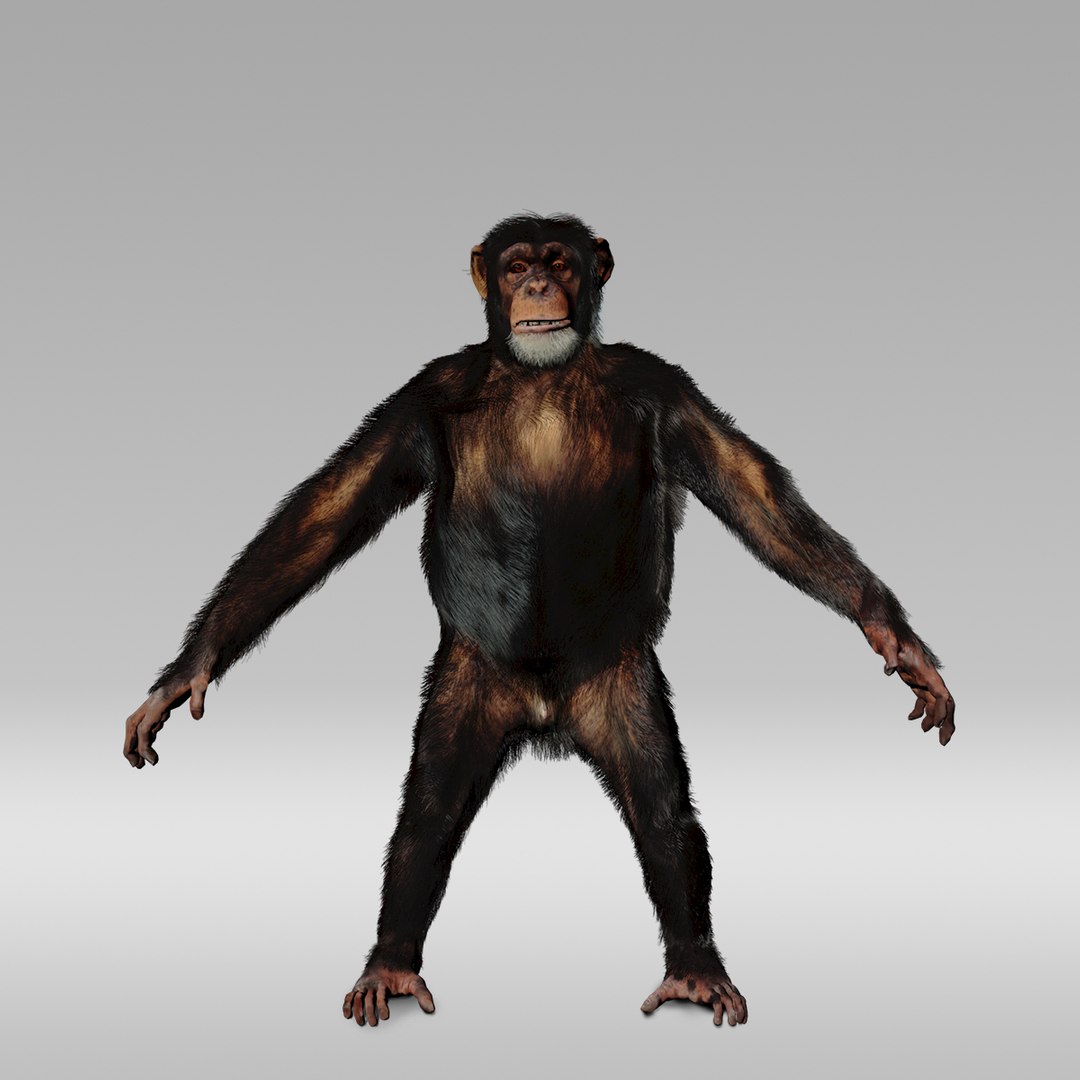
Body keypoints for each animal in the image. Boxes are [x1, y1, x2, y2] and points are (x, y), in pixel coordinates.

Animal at [124, 213, 955, 1029]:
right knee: (429, 815)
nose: (535, 285)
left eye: (559, 259)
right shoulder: (421, 398)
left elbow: (752, 495)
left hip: (620, 687)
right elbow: (325, 515)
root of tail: (547, 716)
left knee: (662, 813)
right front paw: (185, 674)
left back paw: (694, 967)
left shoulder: (664, 389)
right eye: (516, 261)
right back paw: (391, 964)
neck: (541, 376)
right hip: (470, 685)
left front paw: (895, 637)